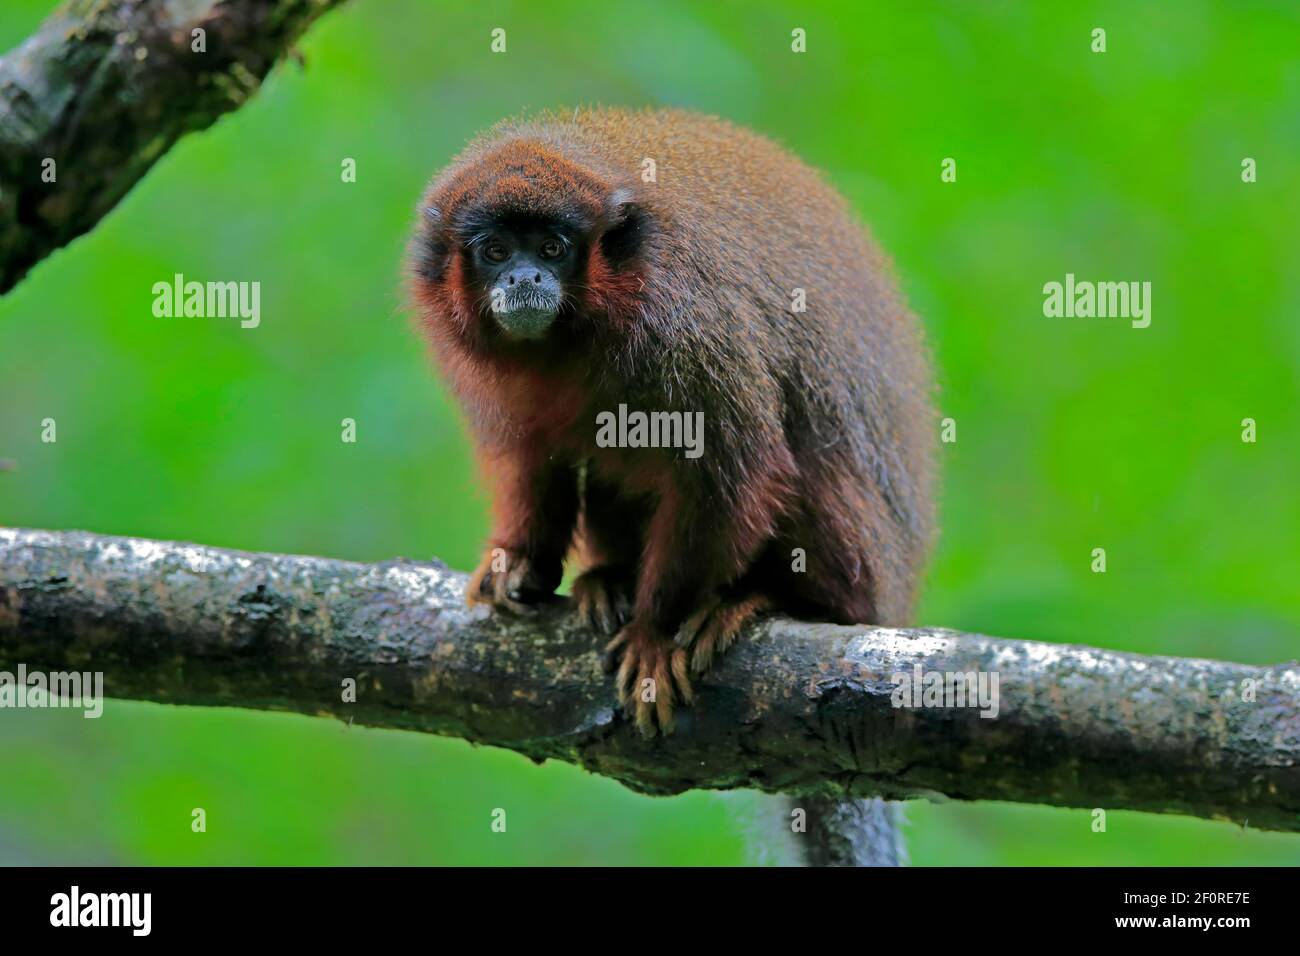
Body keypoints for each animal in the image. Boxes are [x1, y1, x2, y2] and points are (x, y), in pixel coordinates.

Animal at [408, 107, 935, 737]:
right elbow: (528, 454)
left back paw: (771, 601)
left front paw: (655, 632)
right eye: (495, 251)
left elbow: (729, 471)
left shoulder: (686, 326)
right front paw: (520, 560)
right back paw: (610, 578)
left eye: (552, 248)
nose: (524, 280)